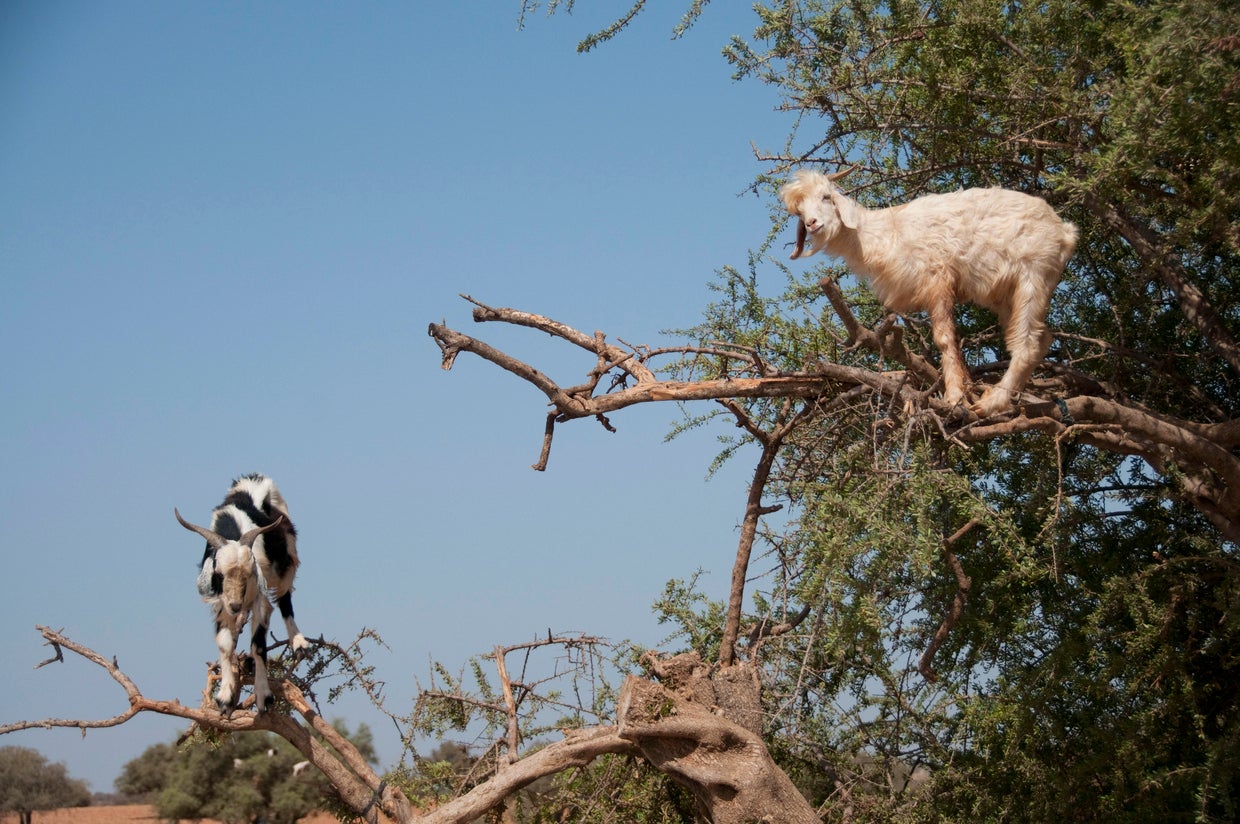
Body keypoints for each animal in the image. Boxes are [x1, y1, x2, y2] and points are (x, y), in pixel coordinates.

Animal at [176, 473, 309, 714]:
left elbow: (258, 645)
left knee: (285, 601)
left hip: (288, 562)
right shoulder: (221, 602)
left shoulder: (259, 597)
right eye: (219, 574)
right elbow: (225, 644)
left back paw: (299, 643)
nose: (236, 606)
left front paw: (264, 696)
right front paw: (225, 698)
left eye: (249, 574)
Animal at [780, 168, 1078, 416]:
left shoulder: (937, 278)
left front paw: (955, 397)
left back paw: (992, 403)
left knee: (1027, 343)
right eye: (799, 211)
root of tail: (1065, 231)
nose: (812, 223)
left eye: (826, 196)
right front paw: (966, 387)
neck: (881, 233)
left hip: (1033, 276)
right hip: (1008, 294)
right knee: (1041, 338)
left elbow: (945, 339)